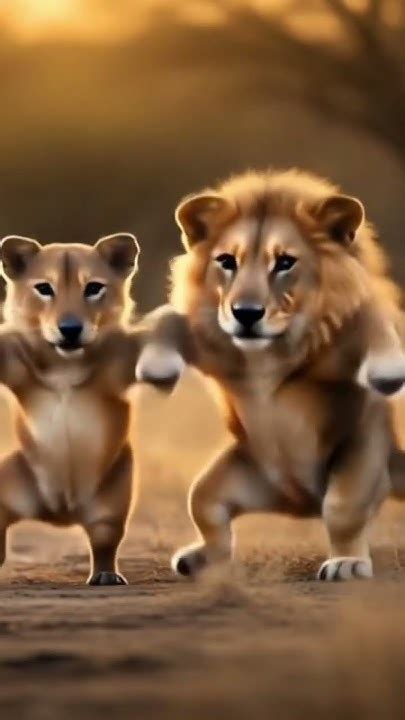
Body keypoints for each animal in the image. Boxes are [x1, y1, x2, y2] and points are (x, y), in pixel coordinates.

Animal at [137, 169, 405, 581]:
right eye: (227, 261)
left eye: (285, 262)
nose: (246, 313)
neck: (268, 354)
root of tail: (299, 500)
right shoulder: (214, 341)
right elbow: (167, 317)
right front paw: (157, 365)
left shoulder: (364, 437)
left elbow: (343, 509)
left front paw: (347, 563)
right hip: (249, 475)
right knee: (203, 502)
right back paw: (199, 558)